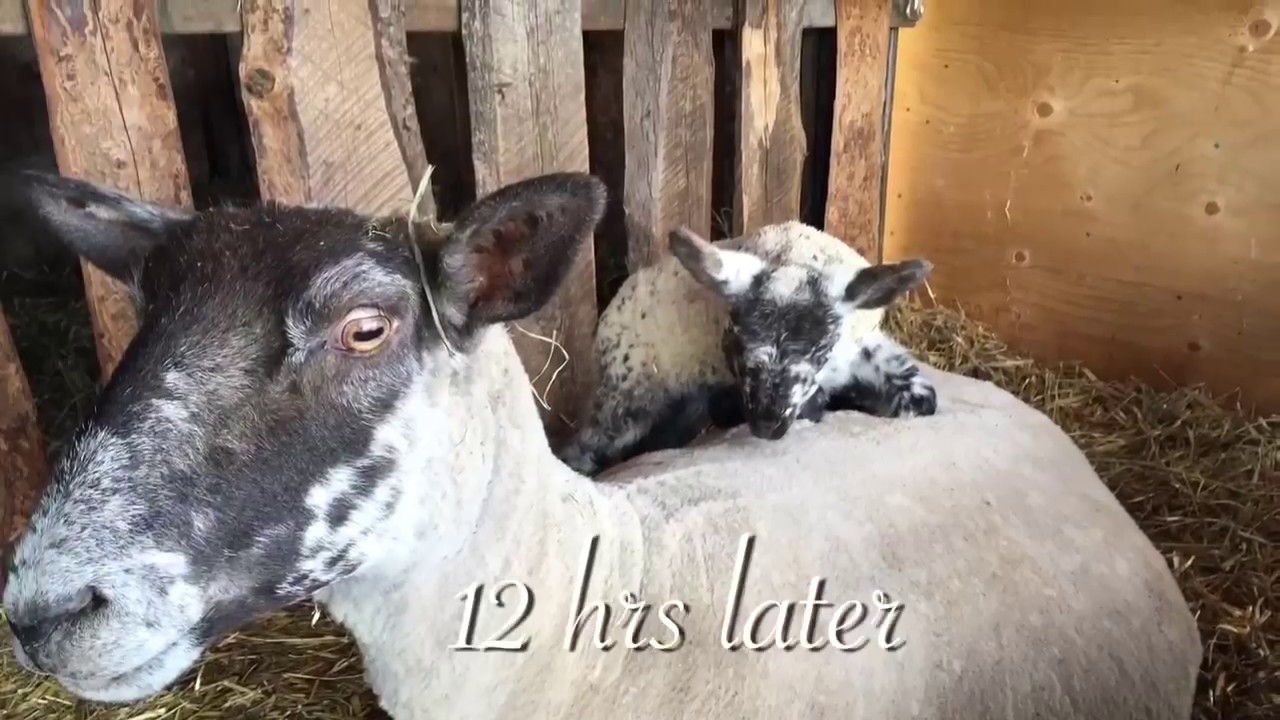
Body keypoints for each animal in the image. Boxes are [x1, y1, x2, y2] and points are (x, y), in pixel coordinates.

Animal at [556, 221, 936, 476]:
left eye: (820, 351)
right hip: (628, 392)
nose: (767, 424)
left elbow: (923, 399)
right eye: (736, 342)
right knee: (589, 449)